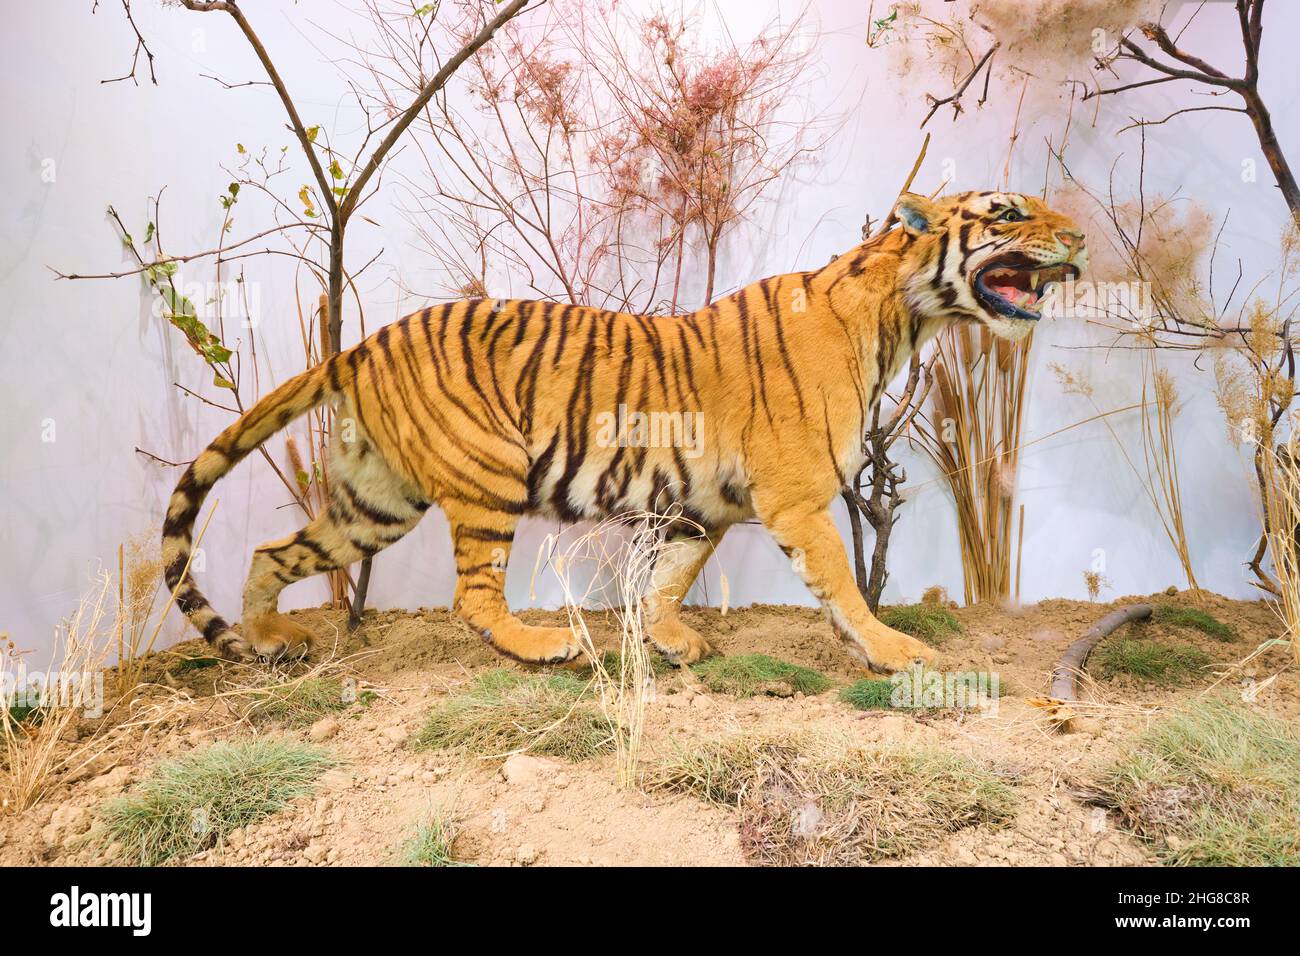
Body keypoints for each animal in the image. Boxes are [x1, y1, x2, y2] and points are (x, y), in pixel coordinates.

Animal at [162, 189, 1086, 674]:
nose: (1080, 234)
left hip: (374, 501)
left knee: (273, 552)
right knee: (472, 593)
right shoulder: (797, 498)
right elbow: (843, 584)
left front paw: (668, 639)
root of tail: (359, 344)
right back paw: (544, 646)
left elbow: (670, 575)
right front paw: (897, 651)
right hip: (484, 475)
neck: (903, 317)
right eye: (1008, 210)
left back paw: (267, 637)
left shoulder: (704, 507)